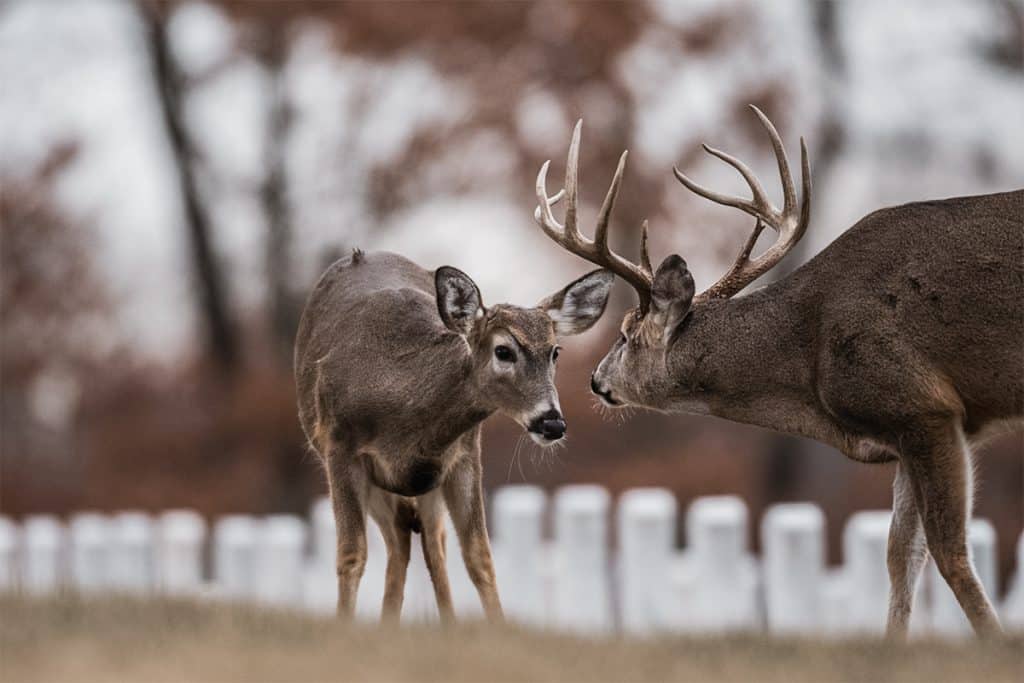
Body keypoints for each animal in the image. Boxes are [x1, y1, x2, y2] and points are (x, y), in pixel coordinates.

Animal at [294, 249, 613, 623]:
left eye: (555, 352)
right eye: (503, 351)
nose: (552, 423)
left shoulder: (463, 455)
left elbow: (480, 557)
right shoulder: (340, 448)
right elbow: (350, 555)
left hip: (427, 480)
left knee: (426, 543)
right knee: (401, 536)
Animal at [533, 108, 1023, 638]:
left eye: (625, 335)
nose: (596, 380)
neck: (808, 360)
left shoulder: (924, 406)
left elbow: (950, 554)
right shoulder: (911, 431)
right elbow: (901, 556)